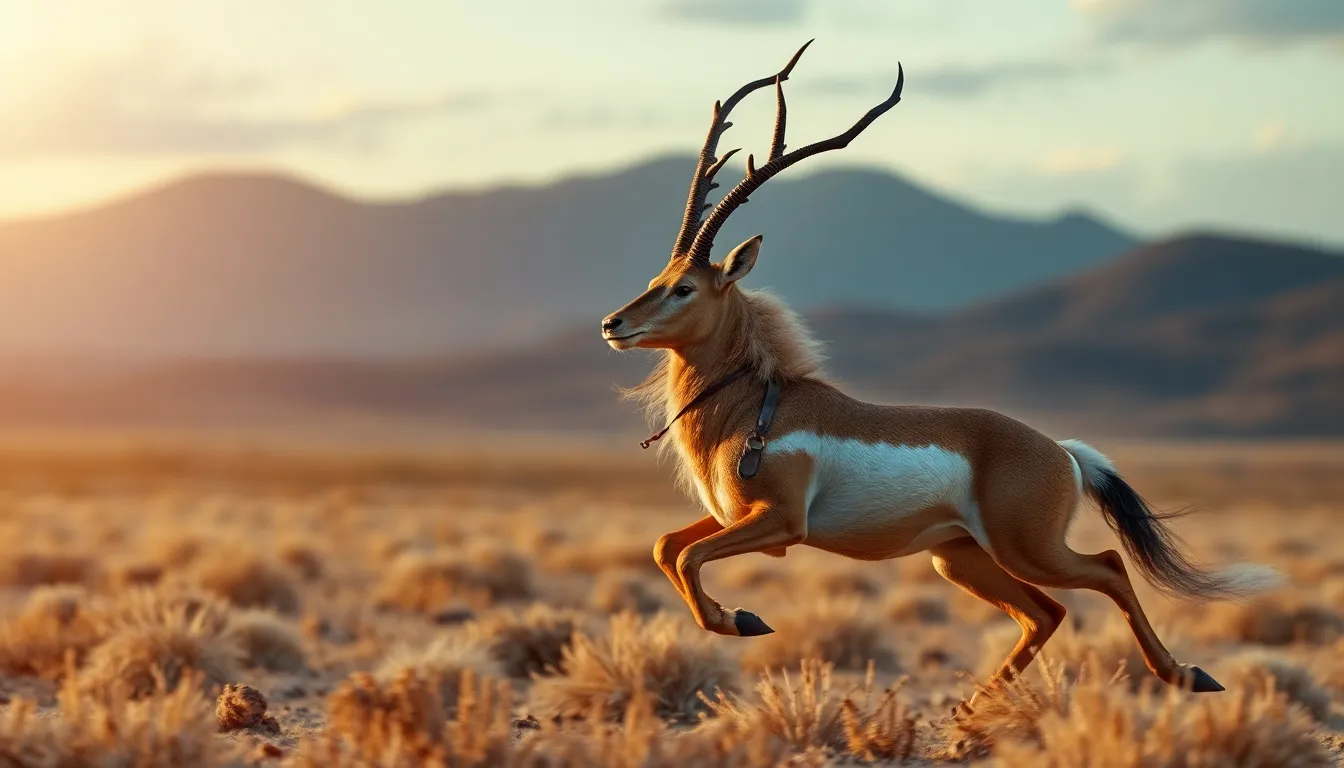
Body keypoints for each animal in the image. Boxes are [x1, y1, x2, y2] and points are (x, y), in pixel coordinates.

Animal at [600, 41, 1279, 694]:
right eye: (658, 278)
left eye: (685, 288)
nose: (613, 325)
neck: (757, 406)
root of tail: (1062, 452)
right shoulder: (733, 519)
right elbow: (665, 547)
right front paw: (738, 616)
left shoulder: (779, 523)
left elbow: (685, 558)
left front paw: (742, 619)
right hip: (961, 558)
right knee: (1045, 613)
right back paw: (970, 714)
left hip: (1026, 550)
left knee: (1106, 570)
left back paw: (1189, 676)